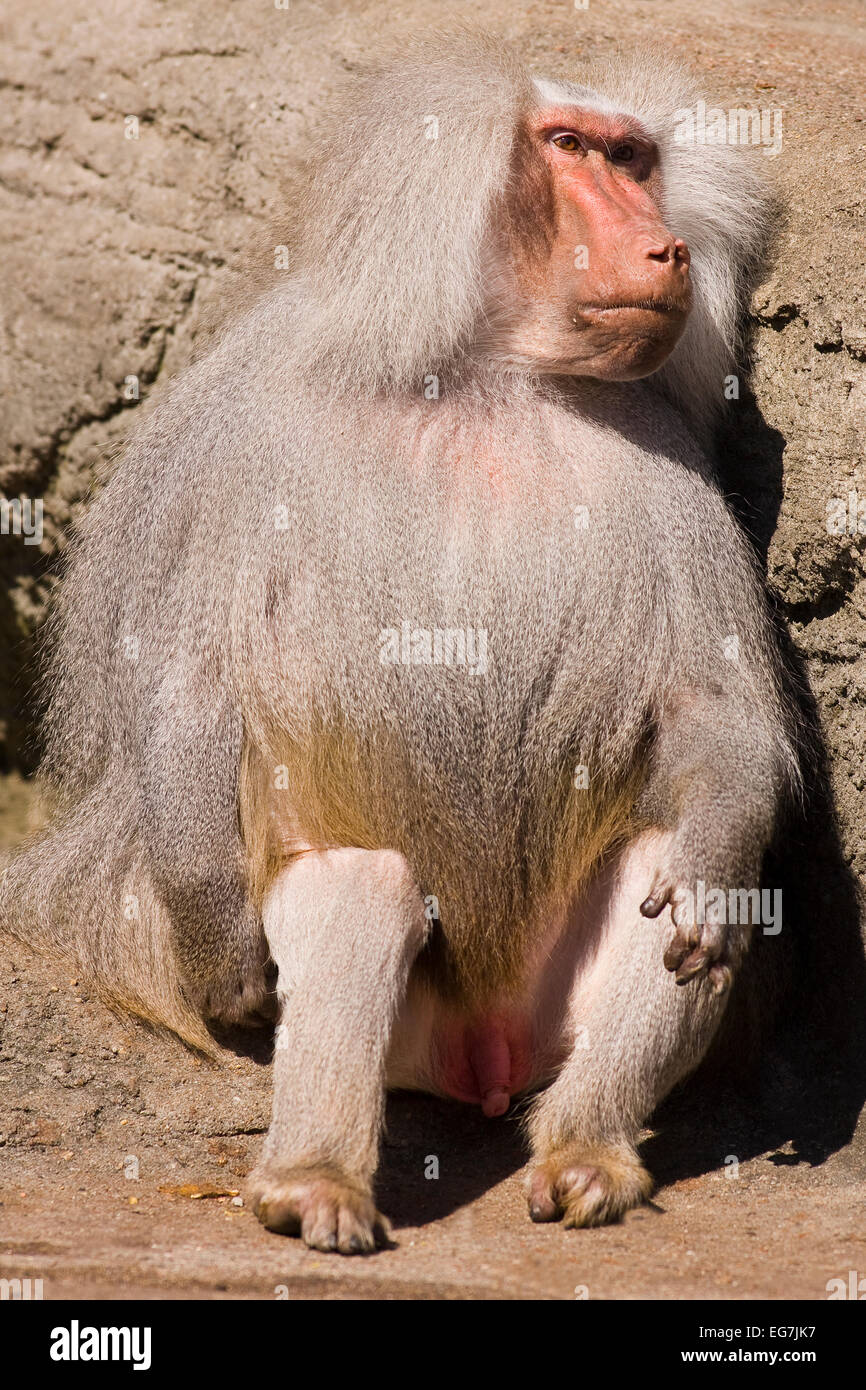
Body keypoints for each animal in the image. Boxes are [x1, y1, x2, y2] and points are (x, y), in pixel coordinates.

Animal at [1, 30, 800, 1253]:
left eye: (636, 159)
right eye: (570, 148)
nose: (663, 248)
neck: (482, 375)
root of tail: (481, 1059)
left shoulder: (669, 472)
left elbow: (713, 720)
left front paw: (711, 874)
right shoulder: (255, 429)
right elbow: (188, 683)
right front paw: (218, 931)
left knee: (666, 876)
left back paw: (585, 1154)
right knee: (358, 890)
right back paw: (311, 1181)